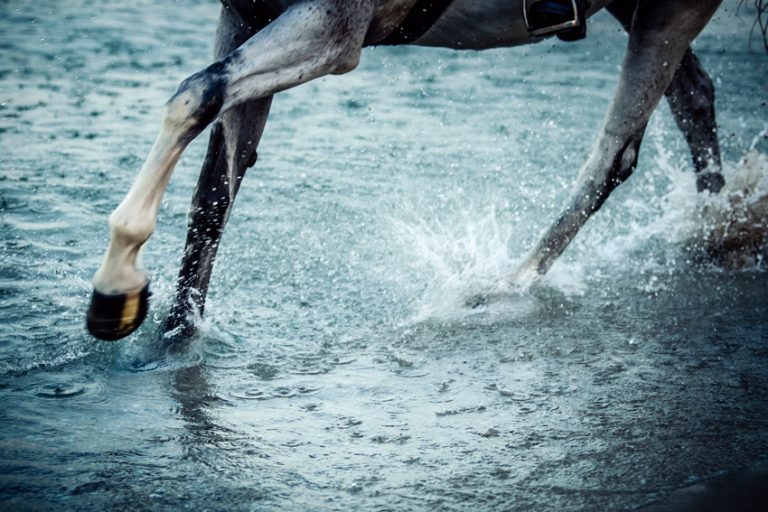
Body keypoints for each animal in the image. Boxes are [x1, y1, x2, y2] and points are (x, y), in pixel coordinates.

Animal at [86, 0, 738, 342]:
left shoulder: (332, 28)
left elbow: (196, 96)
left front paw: (117, 281)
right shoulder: (245, 15)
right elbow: (215, 190)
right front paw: (173, 333)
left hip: (673, 10)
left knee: (614, 155)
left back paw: (497, 290)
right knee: (693, 99)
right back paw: (715, 230)